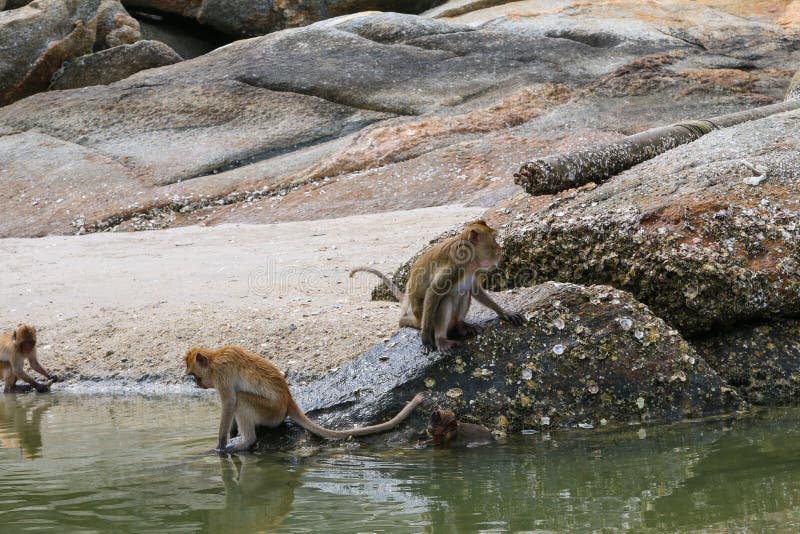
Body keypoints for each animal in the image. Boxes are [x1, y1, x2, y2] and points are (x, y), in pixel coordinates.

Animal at [184, 345, 427, 453]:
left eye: (195, 376)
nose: (198, 384)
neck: (215, 359)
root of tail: (288, 400)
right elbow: (231, 402)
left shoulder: (222, 375)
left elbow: (230, 403)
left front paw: (221, 445)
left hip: (271, 413)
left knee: (242, 399)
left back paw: (247, 441)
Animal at [351, 220, 524, 354]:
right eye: (493, 239)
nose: (500, 249)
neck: (468, 258)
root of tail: (416, 319)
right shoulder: (453, 267)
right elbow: (433, 293)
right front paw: (426, 340)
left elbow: (473, 289)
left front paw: (504, 312)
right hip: (427, 320)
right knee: (445, 299)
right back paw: (440, 339)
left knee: (463, 293)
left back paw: (462, 326)